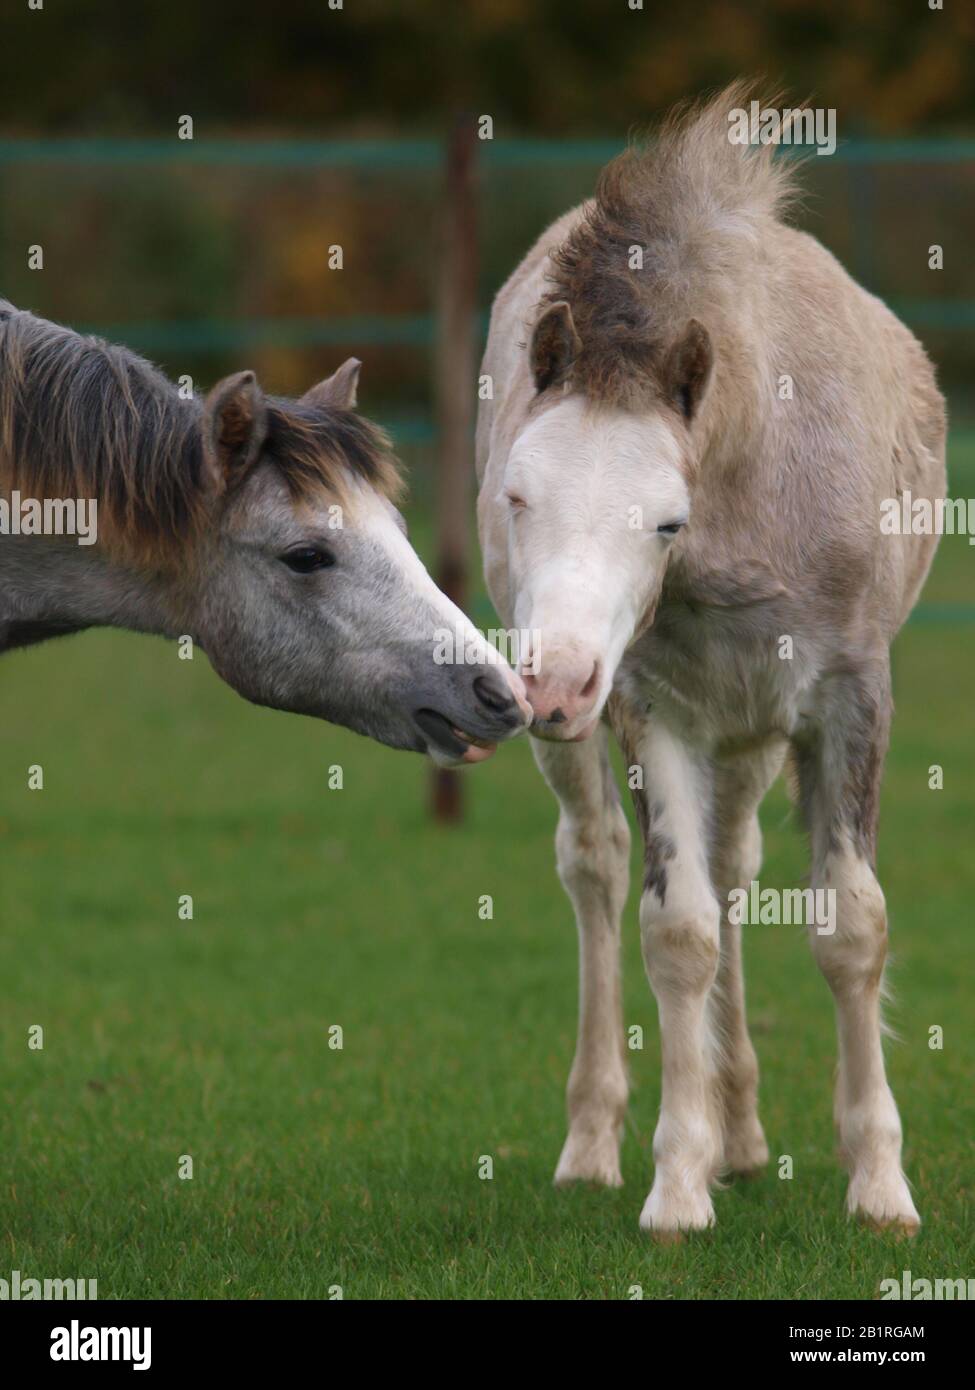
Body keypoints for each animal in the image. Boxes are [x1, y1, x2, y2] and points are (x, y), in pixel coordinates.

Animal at [476, 84, 946, 1237]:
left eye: (664, 521)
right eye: (516, 494)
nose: (554, 684)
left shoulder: (845, 699)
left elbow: (849, 925)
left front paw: (880, 1186)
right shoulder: (654, 709)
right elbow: (675, 929)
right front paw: (675, 1185)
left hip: (752, 730)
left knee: (738, 866)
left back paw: (742, 1132)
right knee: (595, 862)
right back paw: (597, 1142)